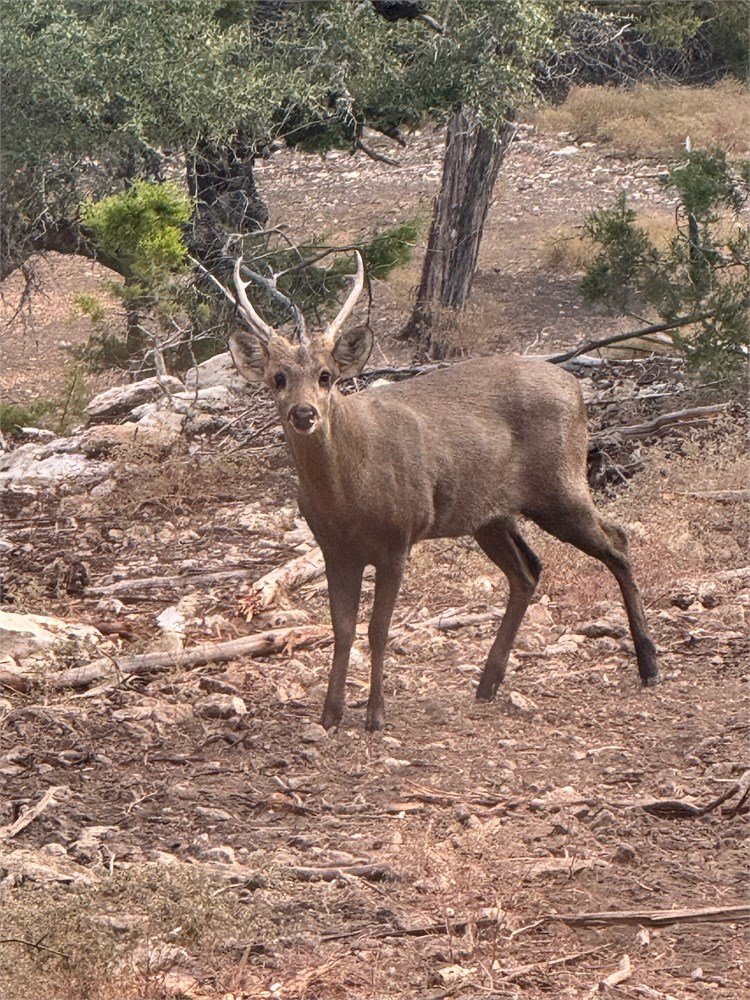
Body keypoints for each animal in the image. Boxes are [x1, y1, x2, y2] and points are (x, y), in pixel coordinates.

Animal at [227, 251, 658, 731]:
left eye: (326, 376)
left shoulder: (397, 538)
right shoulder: (334, 547)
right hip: (489, 516)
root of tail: (576, 388)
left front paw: (375, 714)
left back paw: (649, 665)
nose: (305, 414)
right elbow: (343, 628)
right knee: (528, 570)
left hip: (560, 486)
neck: (348, 495)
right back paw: (488, 683)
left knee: (617, 540)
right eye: (278, 378)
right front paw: (330, 715)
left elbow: (378, 628)